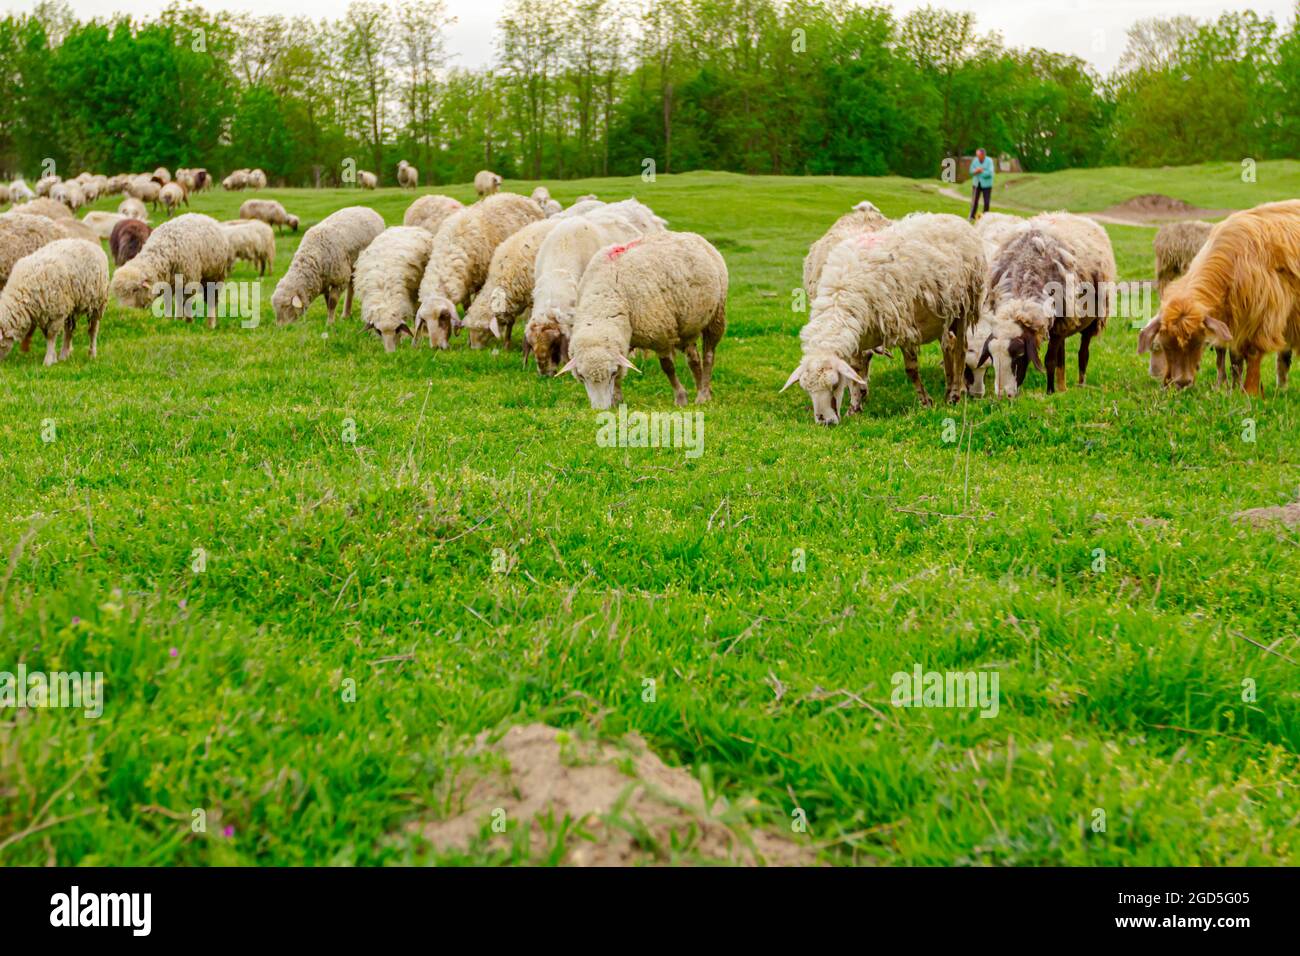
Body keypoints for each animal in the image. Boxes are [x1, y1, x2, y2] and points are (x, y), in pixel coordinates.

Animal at [414, 192, 543, 349]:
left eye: (443, 317)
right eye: (425, 321)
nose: (436, 347)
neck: (453, 247)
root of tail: (520, 196)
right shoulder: (466, 286)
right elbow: (467, 308)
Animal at [559, 231, 728, 409]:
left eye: (611, 373)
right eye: (581, 377)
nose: (600, 409)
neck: (605, 299)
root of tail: (692, 235)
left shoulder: (660, 335)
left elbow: (668, 367)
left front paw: (680, 397)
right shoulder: (623, 341)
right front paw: (617, 400)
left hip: (716, 316)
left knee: (708, 355)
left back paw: (703, 394)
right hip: (687, 327)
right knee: (693, 359)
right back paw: (703, 389)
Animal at [782, 213, 985, 424]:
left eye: (835, 384)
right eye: (808, 390)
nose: (826, 423)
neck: (841, 293)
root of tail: (956, 219)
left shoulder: (905, 327)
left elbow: (911, 370)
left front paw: (925, 402)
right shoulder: (860, 337)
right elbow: (856, 370)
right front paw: (854, 407)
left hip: (963, 306)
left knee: (960, 349)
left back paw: (955, 394)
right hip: (943, 315)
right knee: (948, 346)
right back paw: (949, 390)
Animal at [1139, 200, 1300, 395]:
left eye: (1198, 343)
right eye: (1166, 345)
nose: (1182, 382)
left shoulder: (1263, 316)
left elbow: (1252, 353)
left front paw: (1249, 392)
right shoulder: (1232, 323)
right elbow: (1233, 359)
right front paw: (1230, 388)